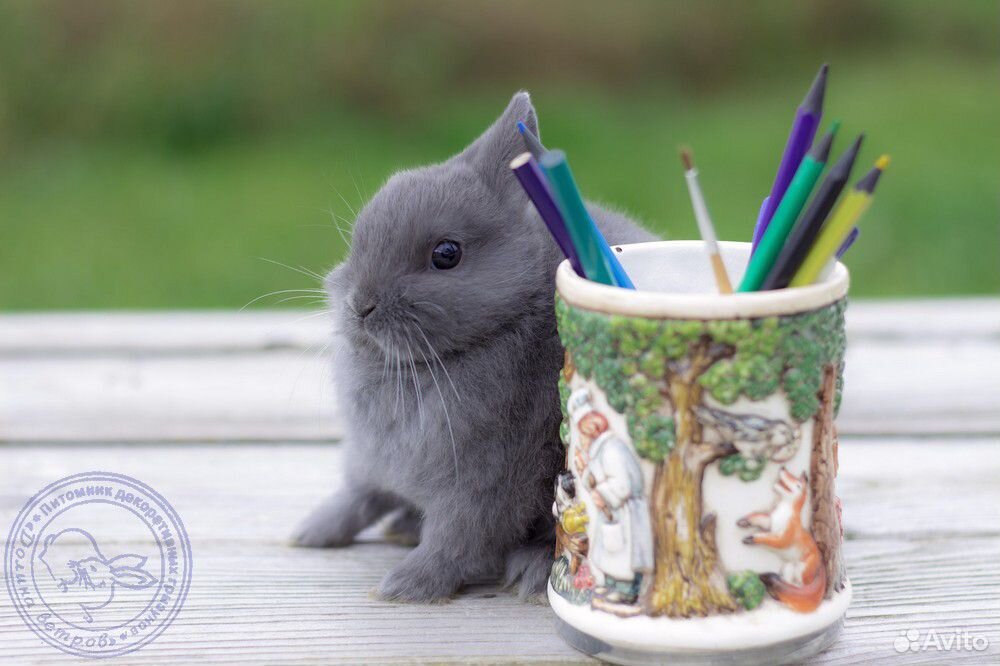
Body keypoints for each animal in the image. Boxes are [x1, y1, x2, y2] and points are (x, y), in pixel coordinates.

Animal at [292, 91, 655, 602]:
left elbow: (456, 538)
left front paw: (404, 586)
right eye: (357, 240)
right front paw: (311, 532)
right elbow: (358, 496)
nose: (360, 306)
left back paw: (529, 571)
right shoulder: (372, 461)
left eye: (446, 255)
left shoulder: (485, 481)